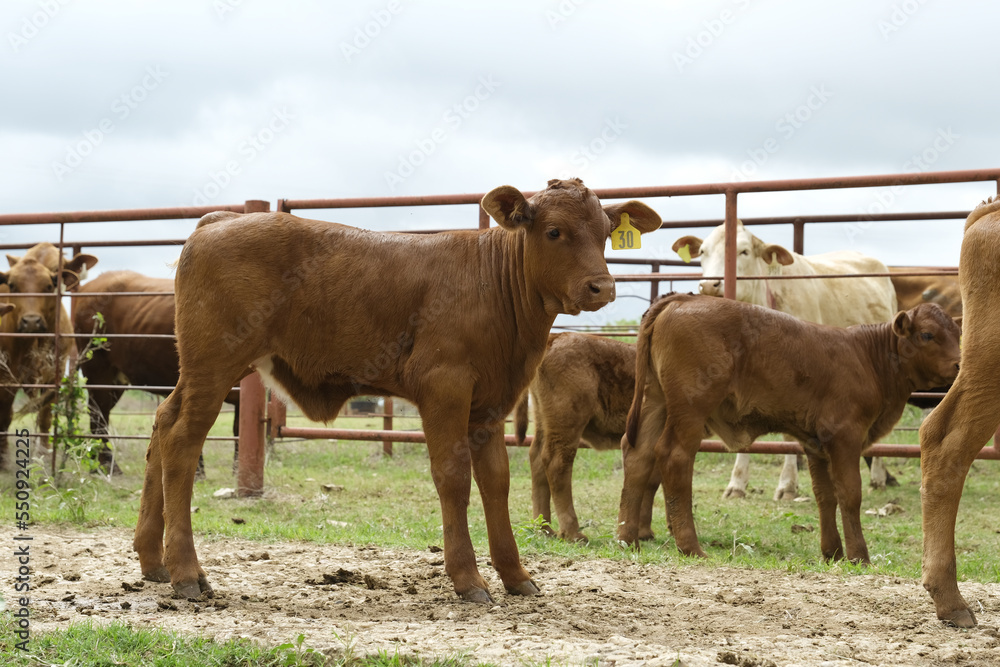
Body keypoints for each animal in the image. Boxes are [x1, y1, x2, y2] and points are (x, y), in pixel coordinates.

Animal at [0, 244, 98, 468]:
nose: (31, 321)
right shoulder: (9, 377)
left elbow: (45, 414)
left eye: (50, 282)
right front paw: (3, 456)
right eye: (13, 285)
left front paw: (44, 451)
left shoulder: (55, 373)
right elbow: (6, 415)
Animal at [514, 332, 659, 543]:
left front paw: (644, 531)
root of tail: (555, 337)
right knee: (557, 463)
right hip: (567, 423)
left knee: (537, 459)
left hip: (544, 422)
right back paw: (572, 533)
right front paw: (644, 532)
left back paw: (545, 529)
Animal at [616, 293, 960, 565]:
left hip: (655, 401)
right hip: (689, 409)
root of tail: (681, 299)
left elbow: (825, 496)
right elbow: (850, 494)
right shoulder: (844, 437)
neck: (869, 359)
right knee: (673, 457)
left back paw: (627, 537)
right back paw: (690, 546)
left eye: (957, 333)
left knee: (638, 455)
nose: (959, 364)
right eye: (927, 335)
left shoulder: (815, 444)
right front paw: (858, 555)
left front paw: (832, 552)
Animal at [672, 221, 898, 499]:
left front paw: (787, 485)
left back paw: (878, 476)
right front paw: (737, 483)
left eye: (744, 251)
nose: (708, 286)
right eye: (702, 252)